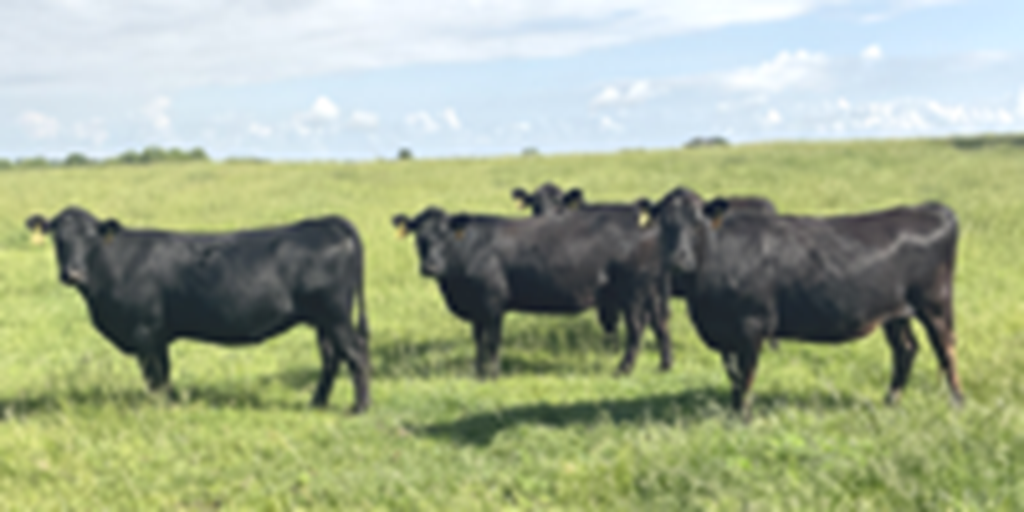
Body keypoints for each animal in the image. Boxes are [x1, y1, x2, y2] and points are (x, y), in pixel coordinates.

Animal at [26, 206, 370, 413]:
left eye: (91, 238)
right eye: (58, 237)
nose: (72, 273)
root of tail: (326, 222)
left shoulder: (145, 333)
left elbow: (155, 375)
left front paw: (160, 408)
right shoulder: (157, 337)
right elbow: (162, 374)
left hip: (335, 316)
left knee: (356, 354)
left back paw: (359, 408)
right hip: (323, 321)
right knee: (331, 356)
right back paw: (317, 403)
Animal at [392, 206, 670, 377]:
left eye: (446, 234)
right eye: (419, 236)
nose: (430, 266)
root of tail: (645, 220)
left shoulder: (492, 304)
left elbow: (492, 340)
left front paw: (492, 374)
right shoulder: (477, 308)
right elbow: (478, 339)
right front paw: (478, 372)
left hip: (633, 292)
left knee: (637, 328)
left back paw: (623, 369)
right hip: (651, 290)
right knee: (660, 323)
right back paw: (665, 365)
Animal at [638, 188, 964, 417]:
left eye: (698, 223)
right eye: (663, 224)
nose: (679, 261)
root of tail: (930, 208)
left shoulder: (751, 326)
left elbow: (746, 376)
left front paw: (743, 417)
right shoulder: (723, 331)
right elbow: (733, 376)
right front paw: (732, 412)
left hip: (936, 305)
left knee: (946, 349)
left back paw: (958, 401)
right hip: (894, 313)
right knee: (905, 349)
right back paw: (891, 400)